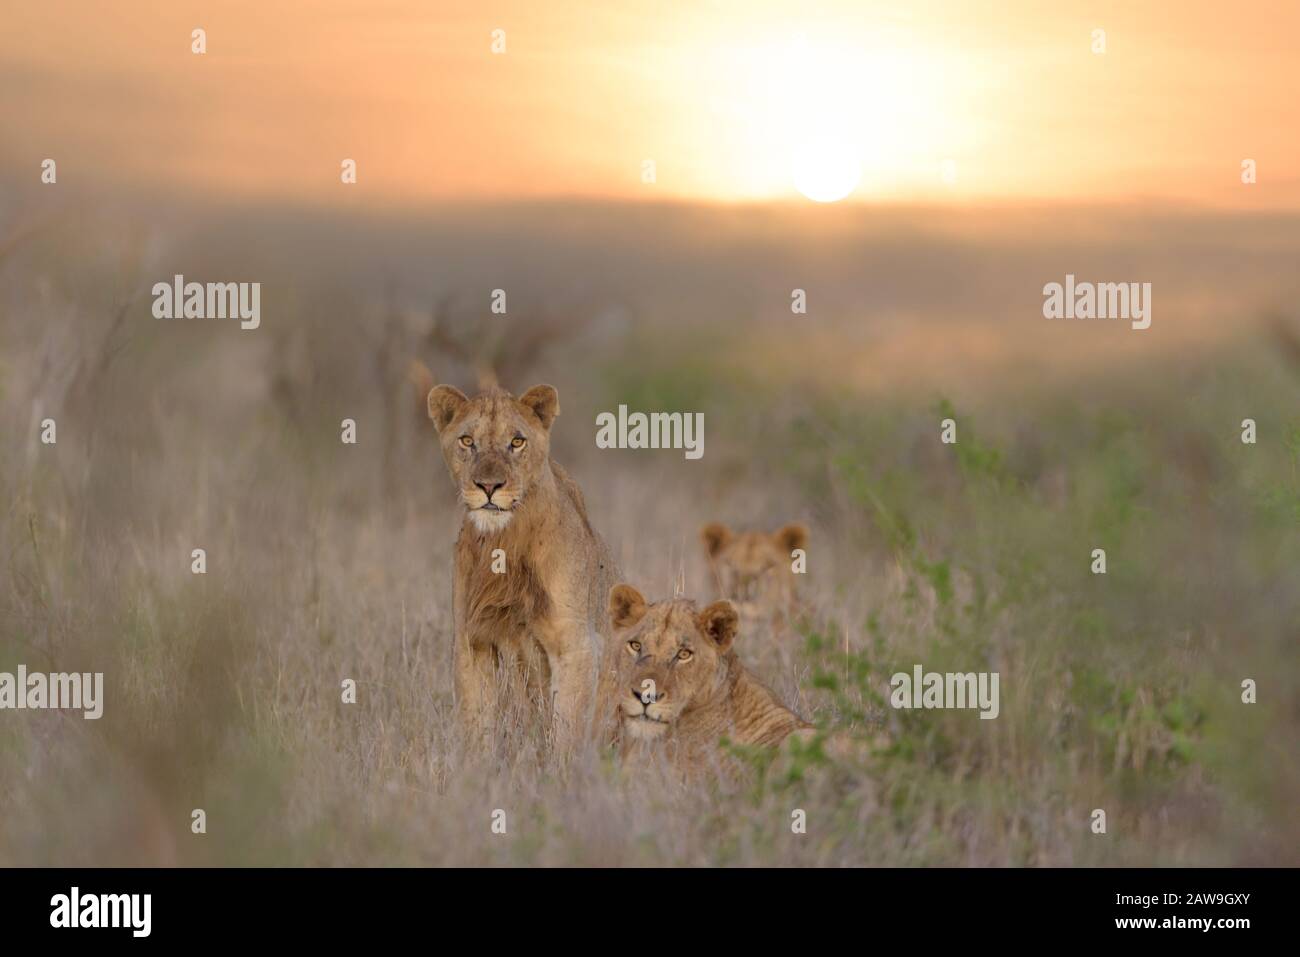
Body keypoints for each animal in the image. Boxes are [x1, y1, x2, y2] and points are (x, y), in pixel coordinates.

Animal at [427, 381, 620, 751]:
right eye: (467, 441)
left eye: (517, 442)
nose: (489, 486)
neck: (505, 542)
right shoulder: (471, 644)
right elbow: (475, 727)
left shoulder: (576, 646)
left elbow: (567, 731)